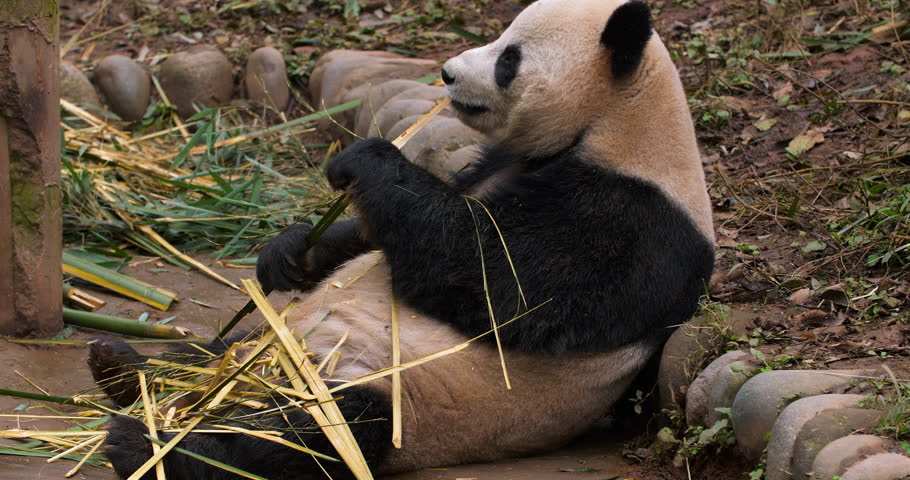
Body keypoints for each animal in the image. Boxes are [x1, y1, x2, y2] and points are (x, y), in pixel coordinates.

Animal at [89, 0, 715, 478]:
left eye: (509, 58)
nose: (447, 73)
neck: (620, 122)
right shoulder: (498, 162)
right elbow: (390, 230)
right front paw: (291, 252)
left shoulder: (632, 220)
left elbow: (497, 280)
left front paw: (366, 158)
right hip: (273, 344)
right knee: (213, 353)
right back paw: (125, 365)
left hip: (398, 398)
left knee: (315, 432)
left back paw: (147, 446)